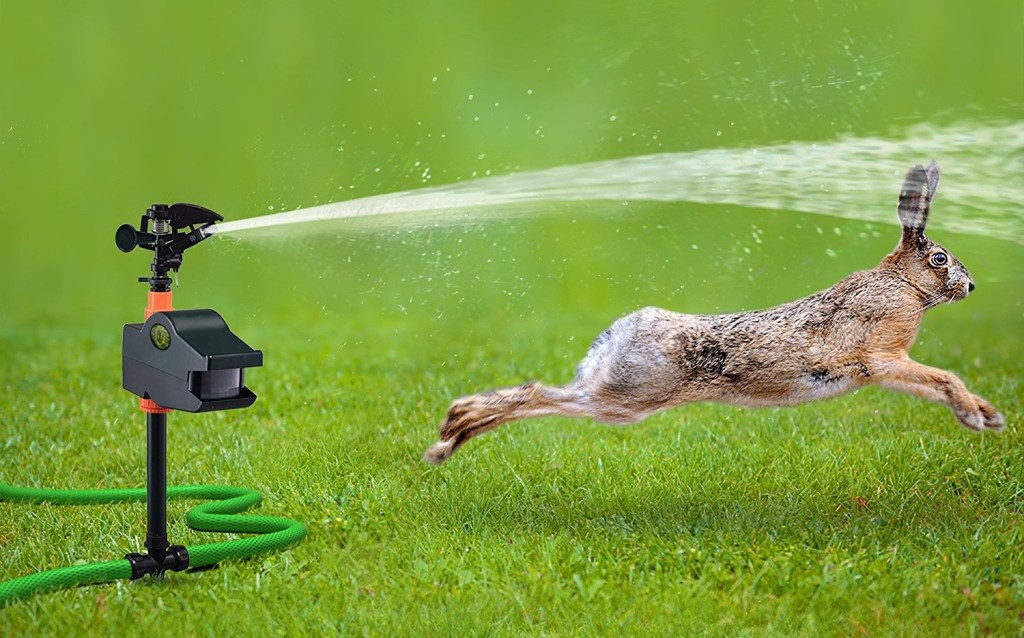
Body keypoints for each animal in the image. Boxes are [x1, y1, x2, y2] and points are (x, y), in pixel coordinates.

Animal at [423, 161, 1005, 465]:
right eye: (939, 259)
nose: (972, 285)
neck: (901, 283)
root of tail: (613, 338)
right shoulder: (882, 356)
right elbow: (943, 377)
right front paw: (977, 417)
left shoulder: (885, 370)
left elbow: (934, 383)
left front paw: (989, 416)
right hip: (626, 398)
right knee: (541, 396)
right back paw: (449, 436)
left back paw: (452, 432)